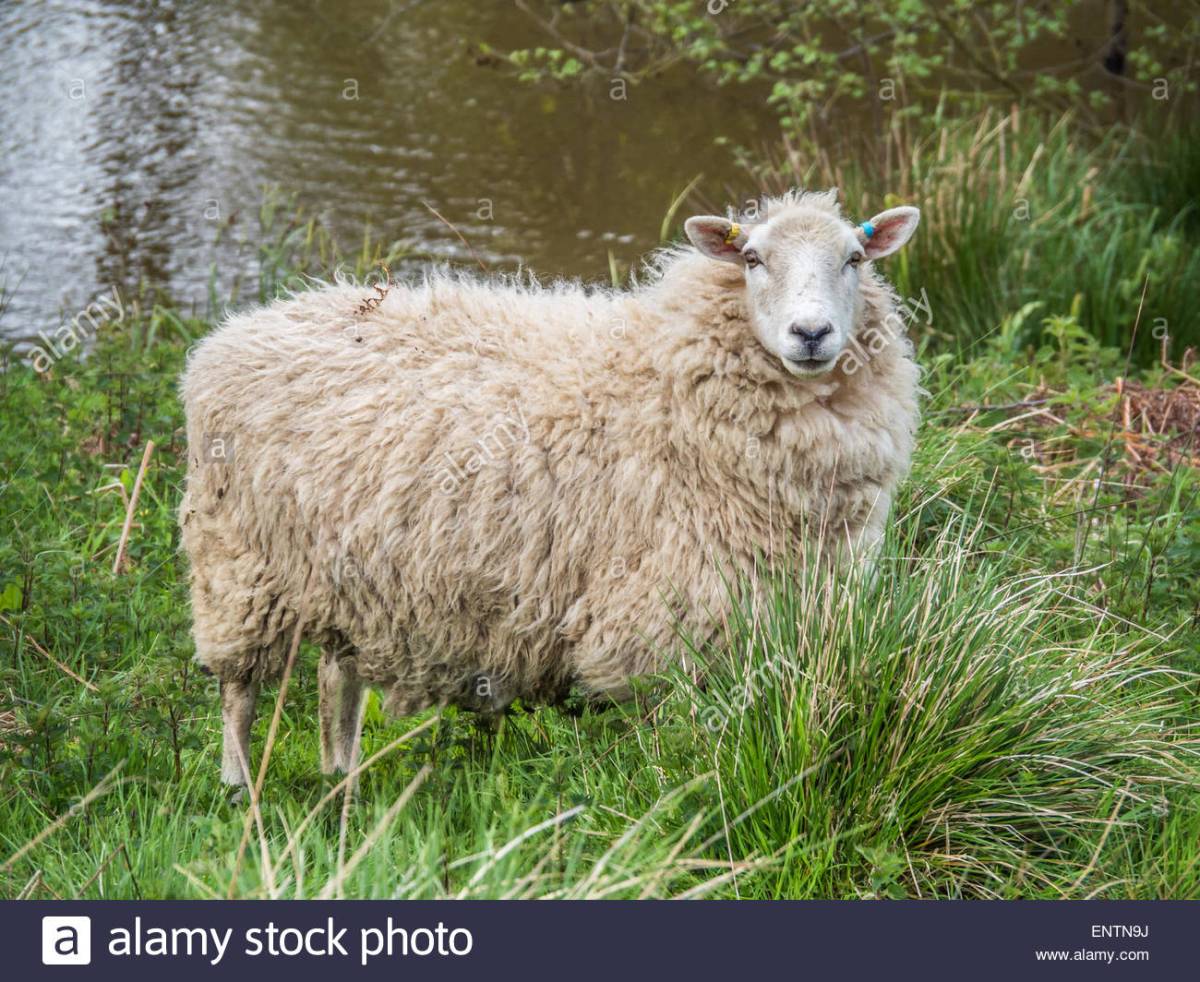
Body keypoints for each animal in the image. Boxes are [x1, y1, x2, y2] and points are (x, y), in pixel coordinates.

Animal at [178, 189, 921, 785]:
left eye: (855, 259)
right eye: (754, 260)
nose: (811, 333)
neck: (666, 381)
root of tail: (237, 330)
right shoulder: (656, 623)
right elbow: (669, 741)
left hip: (343, 577)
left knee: (339, 680)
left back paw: (342, 781)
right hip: (238, 563)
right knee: (239, 689)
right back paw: (239, 788)